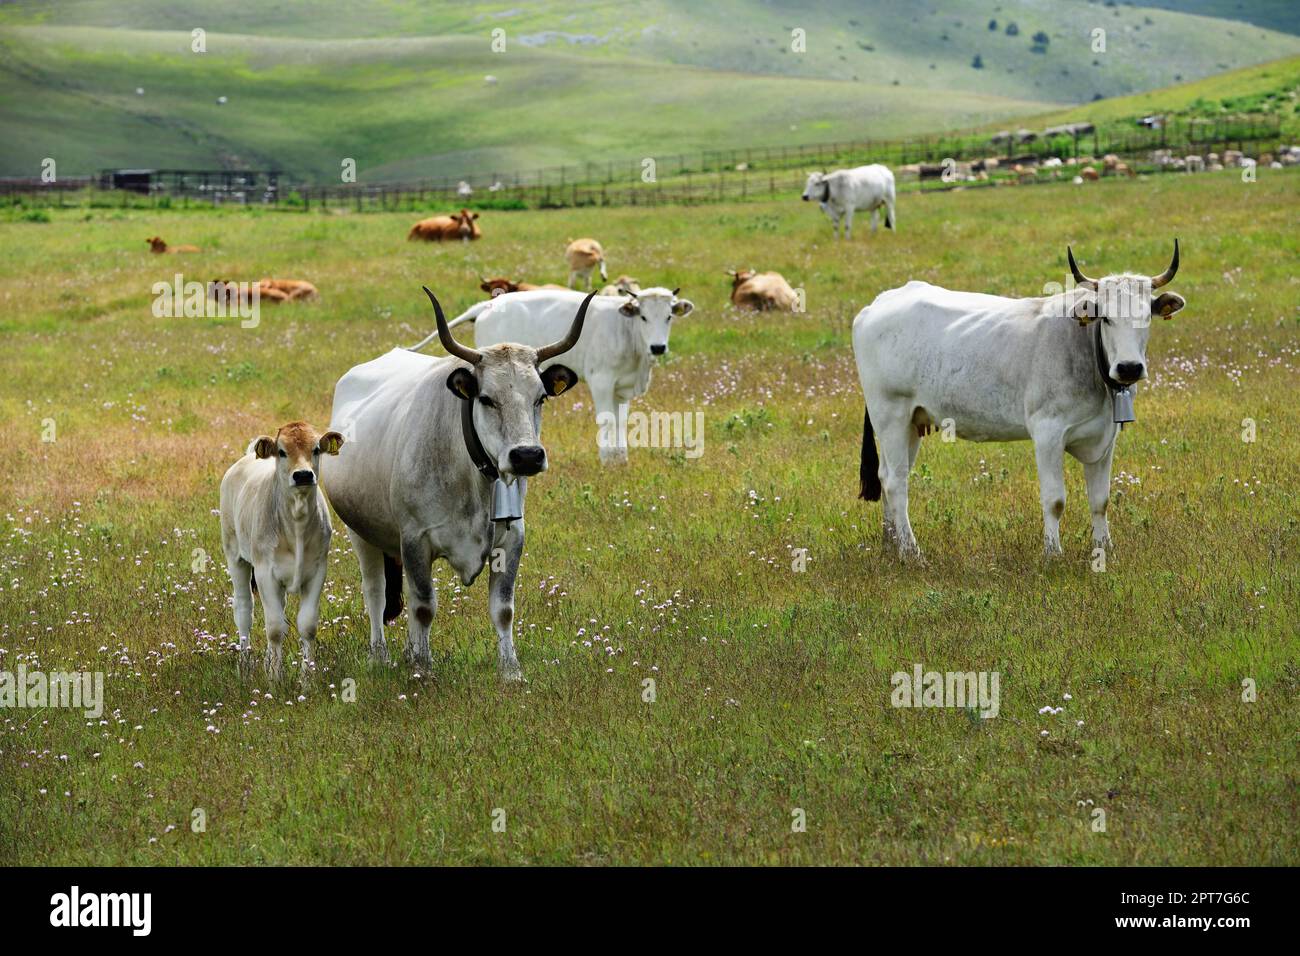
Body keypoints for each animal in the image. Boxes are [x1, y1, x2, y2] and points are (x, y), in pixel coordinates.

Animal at [220, 421, 345, 681]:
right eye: (282, 451)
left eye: (316, 449)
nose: (303, 475)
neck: (296, 522)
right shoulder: (265, 573)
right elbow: (275, 628)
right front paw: (275, 678)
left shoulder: (317, 571)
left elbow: (307, 625)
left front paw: (307, 678)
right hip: (235, 556)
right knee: (244, 610)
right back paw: (244, 665)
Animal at [325, 290, 592, 679]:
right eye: (486, 398)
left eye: (540, 398)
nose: (527, 456)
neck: (474, 479)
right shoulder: (415, 539)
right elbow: (424, 607)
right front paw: (423, 670)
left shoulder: (512, 538)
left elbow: (503, 609)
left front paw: (510, 671)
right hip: (361, 533)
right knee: (375, 592)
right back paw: (380, 656)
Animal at [407, 286, 693, 464]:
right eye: (643, 317)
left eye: (669, 316)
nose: (658, 347)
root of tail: (488, 304)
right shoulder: (601, 380)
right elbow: (607, 420)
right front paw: (607, 460)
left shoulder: (622, 387)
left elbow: (621, 422)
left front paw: (620, 459)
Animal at [852, 241, 1183, 560]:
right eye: (1106, 318)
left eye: (1146, 317)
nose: (1129, 367)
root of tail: (878, 303)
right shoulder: (1048, 432)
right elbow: (1054, 500)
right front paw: (1052, 554)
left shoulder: (1105, 437)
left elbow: (1100, 500)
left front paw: (1104, 548)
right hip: (890, 414)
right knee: (896, 482)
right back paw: (911, 552)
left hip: (912, 421)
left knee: (888, 475)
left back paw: (891, 543)